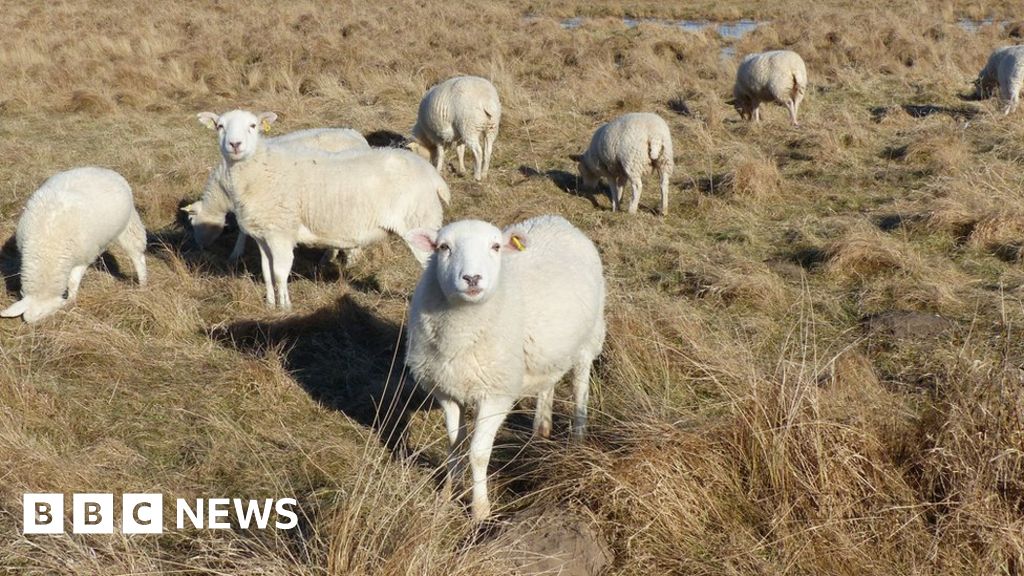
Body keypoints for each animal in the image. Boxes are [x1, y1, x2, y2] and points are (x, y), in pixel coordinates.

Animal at [1, 167, 147, 323]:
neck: (47, 250)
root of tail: (102, 169)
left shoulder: (83, 258)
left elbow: (72, 282)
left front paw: (71, 300)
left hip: (128, 225)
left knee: (137, 256)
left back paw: (143, 284)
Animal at [404, 215, 606, 521]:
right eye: (443, 247)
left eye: (496, 246)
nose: (472, 278)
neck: (462, 333)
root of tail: (556, 219)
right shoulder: (446, 389)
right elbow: (454, 445)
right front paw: (446, 496)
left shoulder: (495, 393)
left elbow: (477, 453)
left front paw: (480, 509)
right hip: (549, 351)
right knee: (548, 385)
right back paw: (541, 430)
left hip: (589, 338)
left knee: (580, 386)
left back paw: (577, 439)